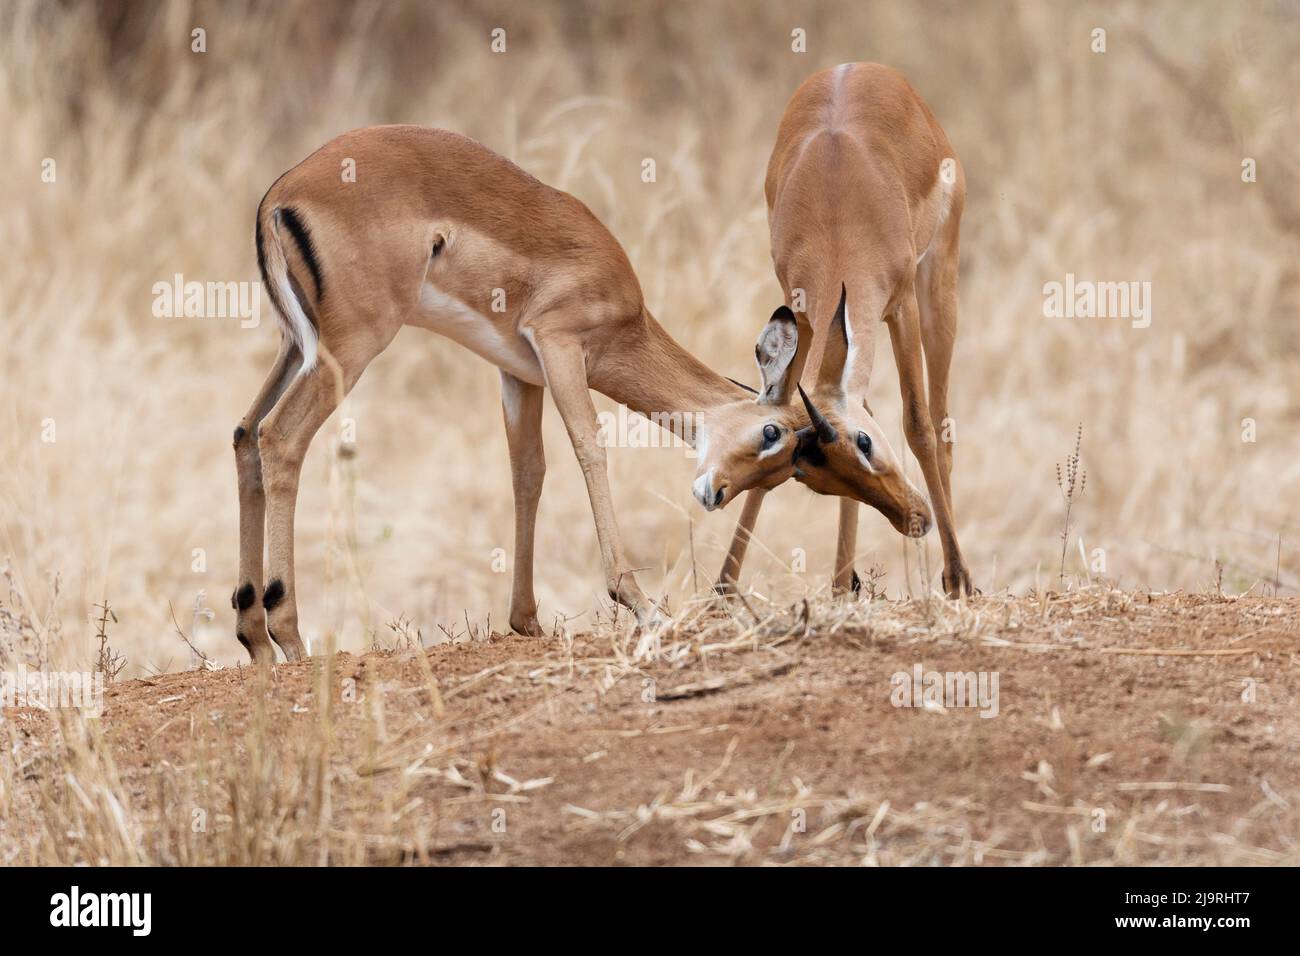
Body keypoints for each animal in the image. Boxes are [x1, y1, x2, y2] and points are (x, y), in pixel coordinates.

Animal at [231, 126, 830, 663]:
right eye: (771, 432)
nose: (714, 494)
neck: (624, 310)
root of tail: (282, 193)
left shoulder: (520, 373)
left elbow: (528, 472)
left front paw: (527, 621)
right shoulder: (560, 346)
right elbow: (591, 449)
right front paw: (640, 605)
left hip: (298, 348)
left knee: (244, 434)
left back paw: (254, 636)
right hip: (353, 346)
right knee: (280, 436)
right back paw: (290, 637)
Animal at [714, 63, 974, 599]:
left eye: (865, 444)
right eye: (815, 479)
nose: (914, 521)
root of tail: (856, 66)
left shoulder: (899, 307)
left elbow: (917, 426)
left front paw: (959, 578)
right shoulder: (803, 313)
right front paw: (724, 586)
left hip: (938, 286)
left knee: (942, 424)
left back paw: (952, 573)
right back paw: (840, 584)